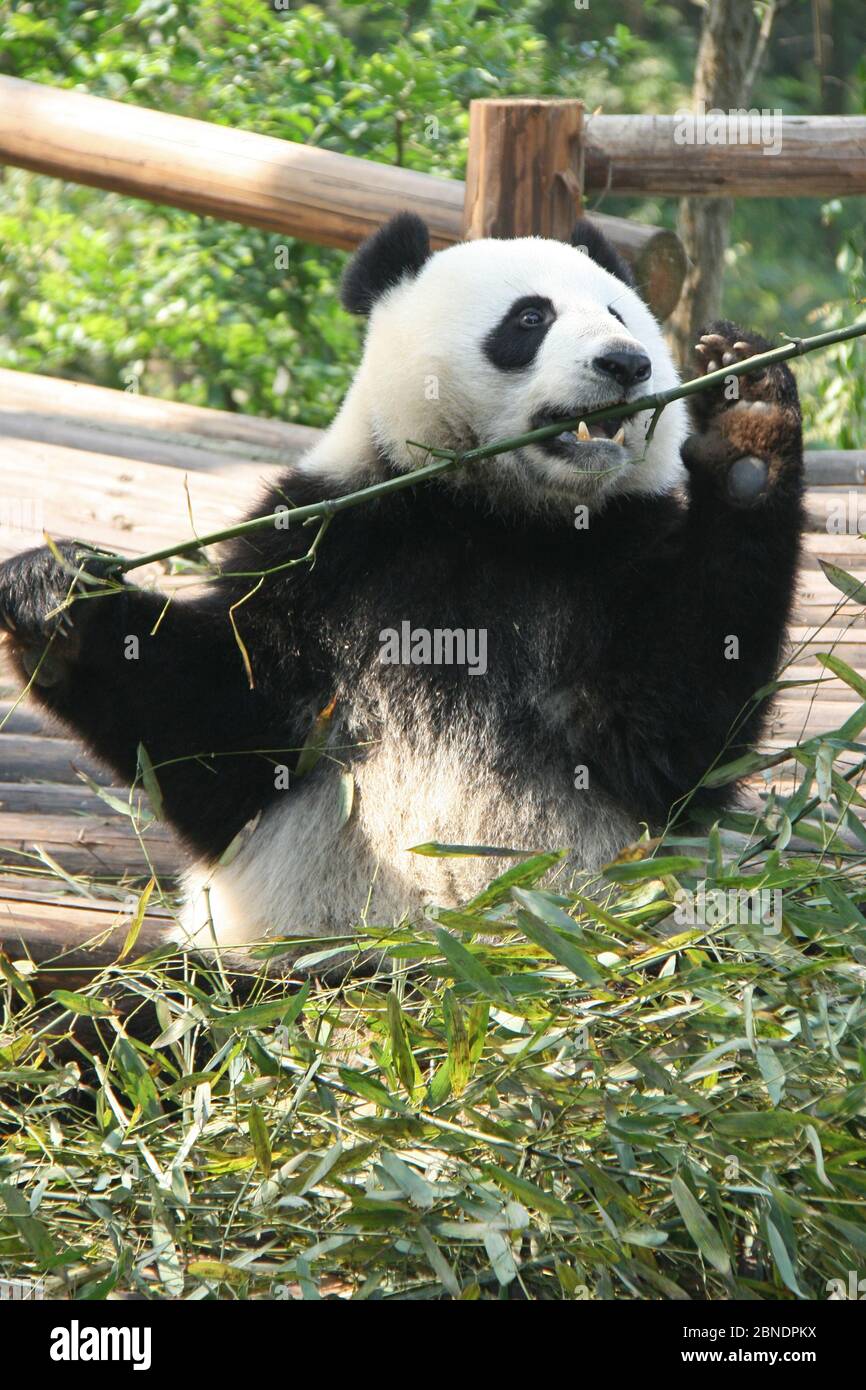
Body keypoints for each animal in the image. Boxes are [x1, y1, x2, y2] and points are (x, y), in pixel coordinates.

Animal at [0, 214, 804, 960]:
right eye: (530, 318)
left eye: (620, 313)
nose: (626, 363)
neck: (498, 514)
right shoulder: (326, 547)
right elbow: (224, 732)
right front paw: (56, 596)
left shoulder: (619, 551)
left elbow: (675, 727)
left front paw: (747, 422)